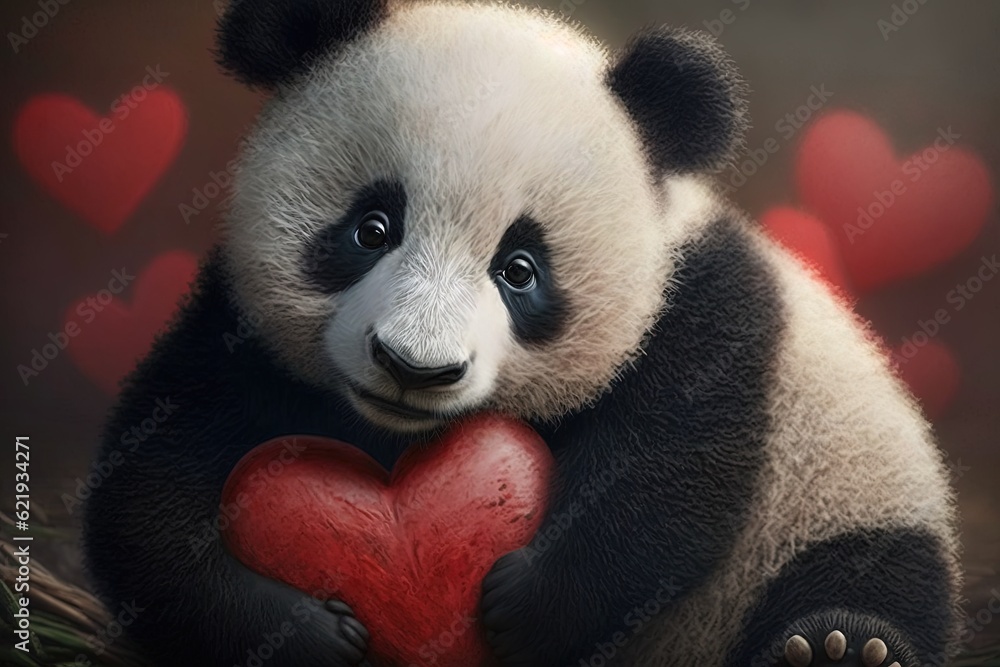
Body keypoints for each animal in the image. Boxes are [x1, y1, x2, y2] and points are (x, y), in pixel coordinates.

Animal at [82, 0, 961, 666]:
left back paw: (842, 645)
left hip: (838, 499)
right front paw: (301, 632)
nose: (414, 366)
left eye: (520, 268)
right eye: (373, 226)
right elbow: (150, 492)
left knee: (870, 570)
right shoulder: (235, 333)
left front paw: (523, 605)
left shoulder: (701, 314)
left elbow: (670, 477)